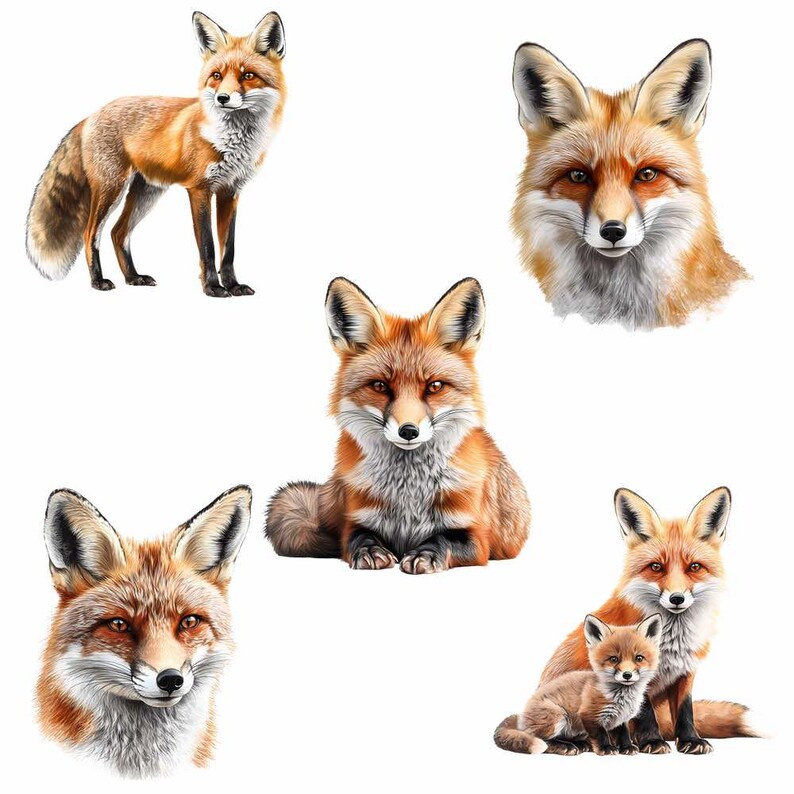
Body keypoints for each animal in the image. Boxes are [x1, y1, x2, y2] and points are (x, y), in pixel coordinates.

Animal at [26, 11, 286, 297]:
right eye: (216, 76)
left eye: (248, 75)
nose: (223, 98)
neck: (231, 142)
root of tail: (91, 115)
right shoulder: (200, 189)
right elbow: (207, 247)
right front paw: (213, 288)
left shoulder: (230, 191)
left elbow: (228, 249)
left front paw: (233, 286)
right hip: (111, 188)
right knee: (90, 233)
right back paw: (98, 281)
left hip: (146, 192)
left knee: (118, 233)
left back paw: (133, 277)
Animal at [265, 277, 531, 573]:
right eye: (380, 386)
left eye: (434, 386)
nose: (408, 431)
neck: (408, 495)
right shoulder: (356, 522)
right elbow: (359, 538)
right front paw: (370, 551)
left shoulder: (475, 536)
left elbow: (442, 539)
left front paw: (424, 555)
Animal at [494, 613, 662, 756]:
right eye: (613, 659)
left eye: (639, 658)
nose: (627, 675)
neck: (622, 697)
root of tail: (521, 716)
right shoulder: (589, 715)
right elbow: (601, 735)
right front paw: (606, 748)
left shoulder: (622, 719)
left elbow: (624, 733)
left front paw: (627, 747)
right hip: (558, 715)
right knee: (543, 741)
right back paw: (564, 747)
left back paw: (579, 745)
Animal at [529, 487, 757, 755]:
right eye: (656, 567)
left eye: (694, 567)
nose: (677, 598)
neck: (672, 641)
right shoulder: (641, 676)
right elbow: (644, 712)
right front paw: (652, 741)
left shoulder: (685, 671)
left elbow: (685, 710)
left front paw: (690, 739)